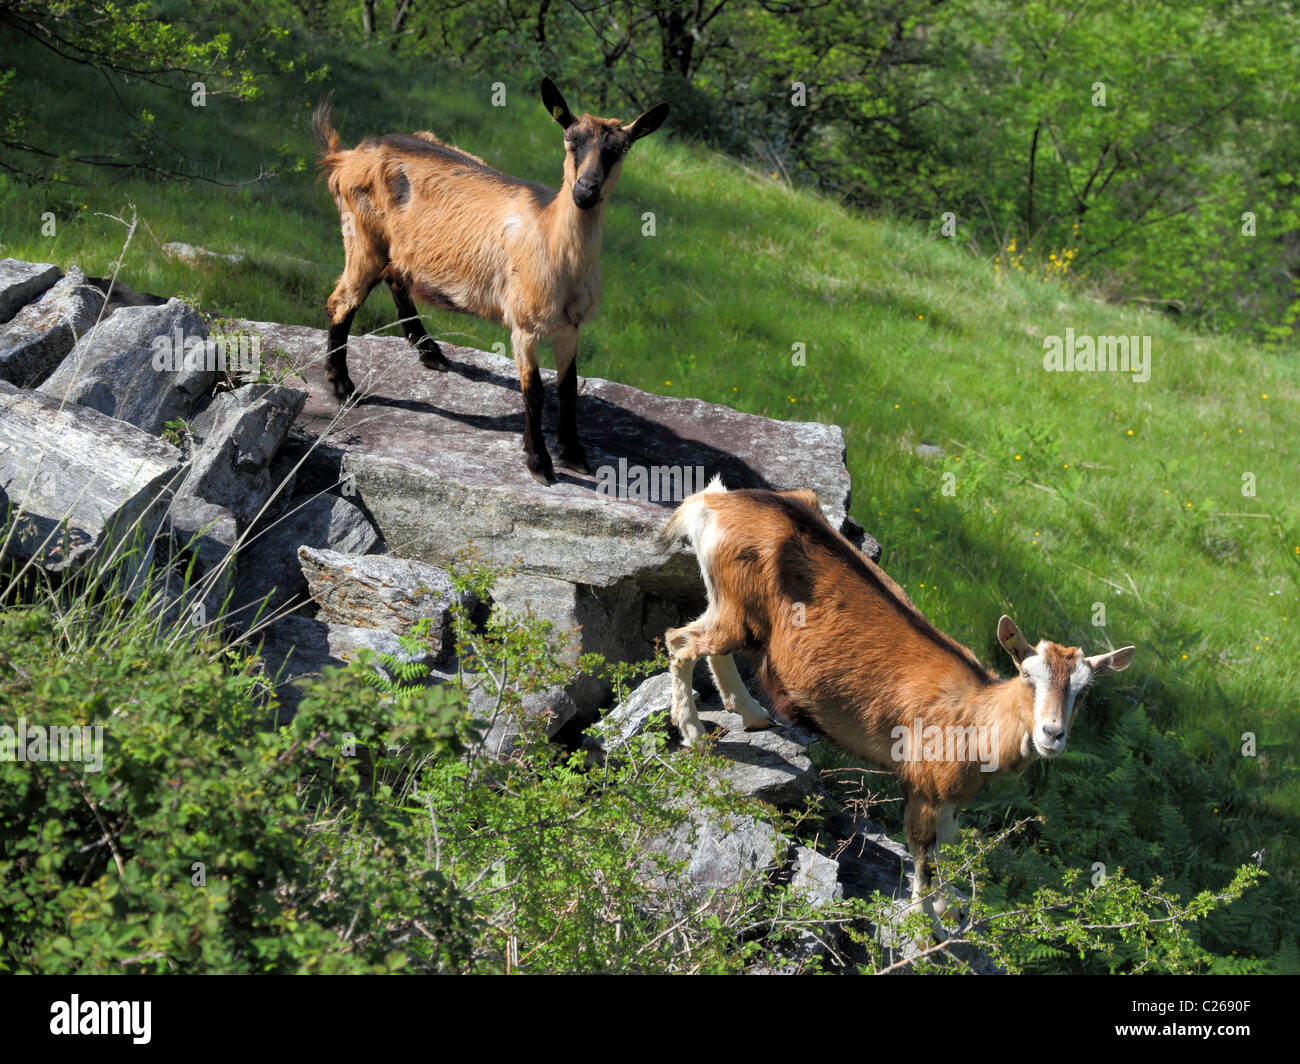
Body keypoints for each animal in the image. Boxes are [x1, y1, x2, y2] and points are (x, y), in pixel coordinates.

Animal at [312, 80, 668, 485]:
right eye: (570, 138)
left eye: (620, 149)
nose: (585, 190)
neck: (549, 237)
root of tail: (346, 157)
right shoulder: (524, 325)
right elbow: (535, 392)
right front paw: (539, 464)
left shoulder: (570, 326)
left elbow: (569, 388)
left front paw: (574, 453)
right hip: (362, 234)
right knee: (342, 300)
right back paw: (342, 385)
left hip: (397, 247)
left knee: (396, 278)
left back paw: (430, 353)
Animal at [659, 480, 1135, 924]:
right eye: (1027, 676)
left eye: (1084, 690)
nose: (1052, 734)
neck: (976, 715)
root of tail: (714, 502)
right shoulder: (921, 786)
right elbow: (923, 857)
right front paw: (923, 923)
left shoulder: (951, 799)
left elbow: (947, 846)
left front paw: (946, 907)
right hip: (735, 605)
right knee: (680, 641)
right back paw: (694, 732)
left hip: (732, 606)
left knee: (712, 647)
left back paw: (751, 713)